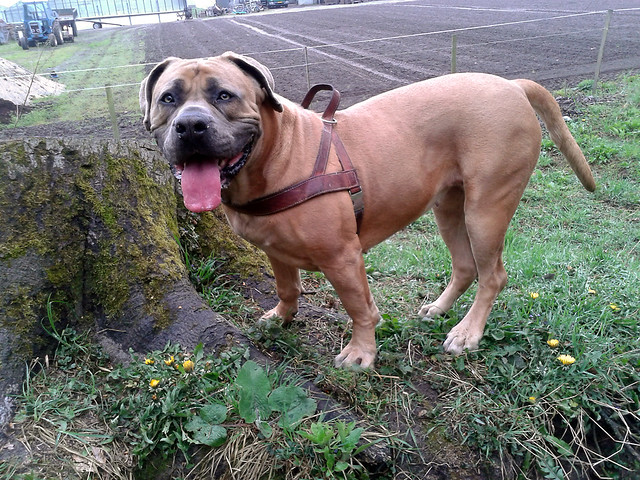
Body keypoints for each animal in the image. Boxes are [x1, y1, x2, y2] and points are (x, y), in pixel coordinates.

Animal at [140, 51, 596, 368]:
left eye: (224, 95)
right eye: (168, 98)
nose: (191, 126)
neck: (275, 156)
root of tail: (512, 85)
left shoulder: (343, 258)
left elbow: (359, 307)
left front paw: (362, 352)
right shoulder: (275, 250)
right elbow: (287, 287)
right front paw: (281, 316)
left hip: (486, 209)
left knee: (493, 275)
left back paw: (467, 332)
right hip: (450, 206)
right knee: (466, 267)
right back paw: (439, 309)